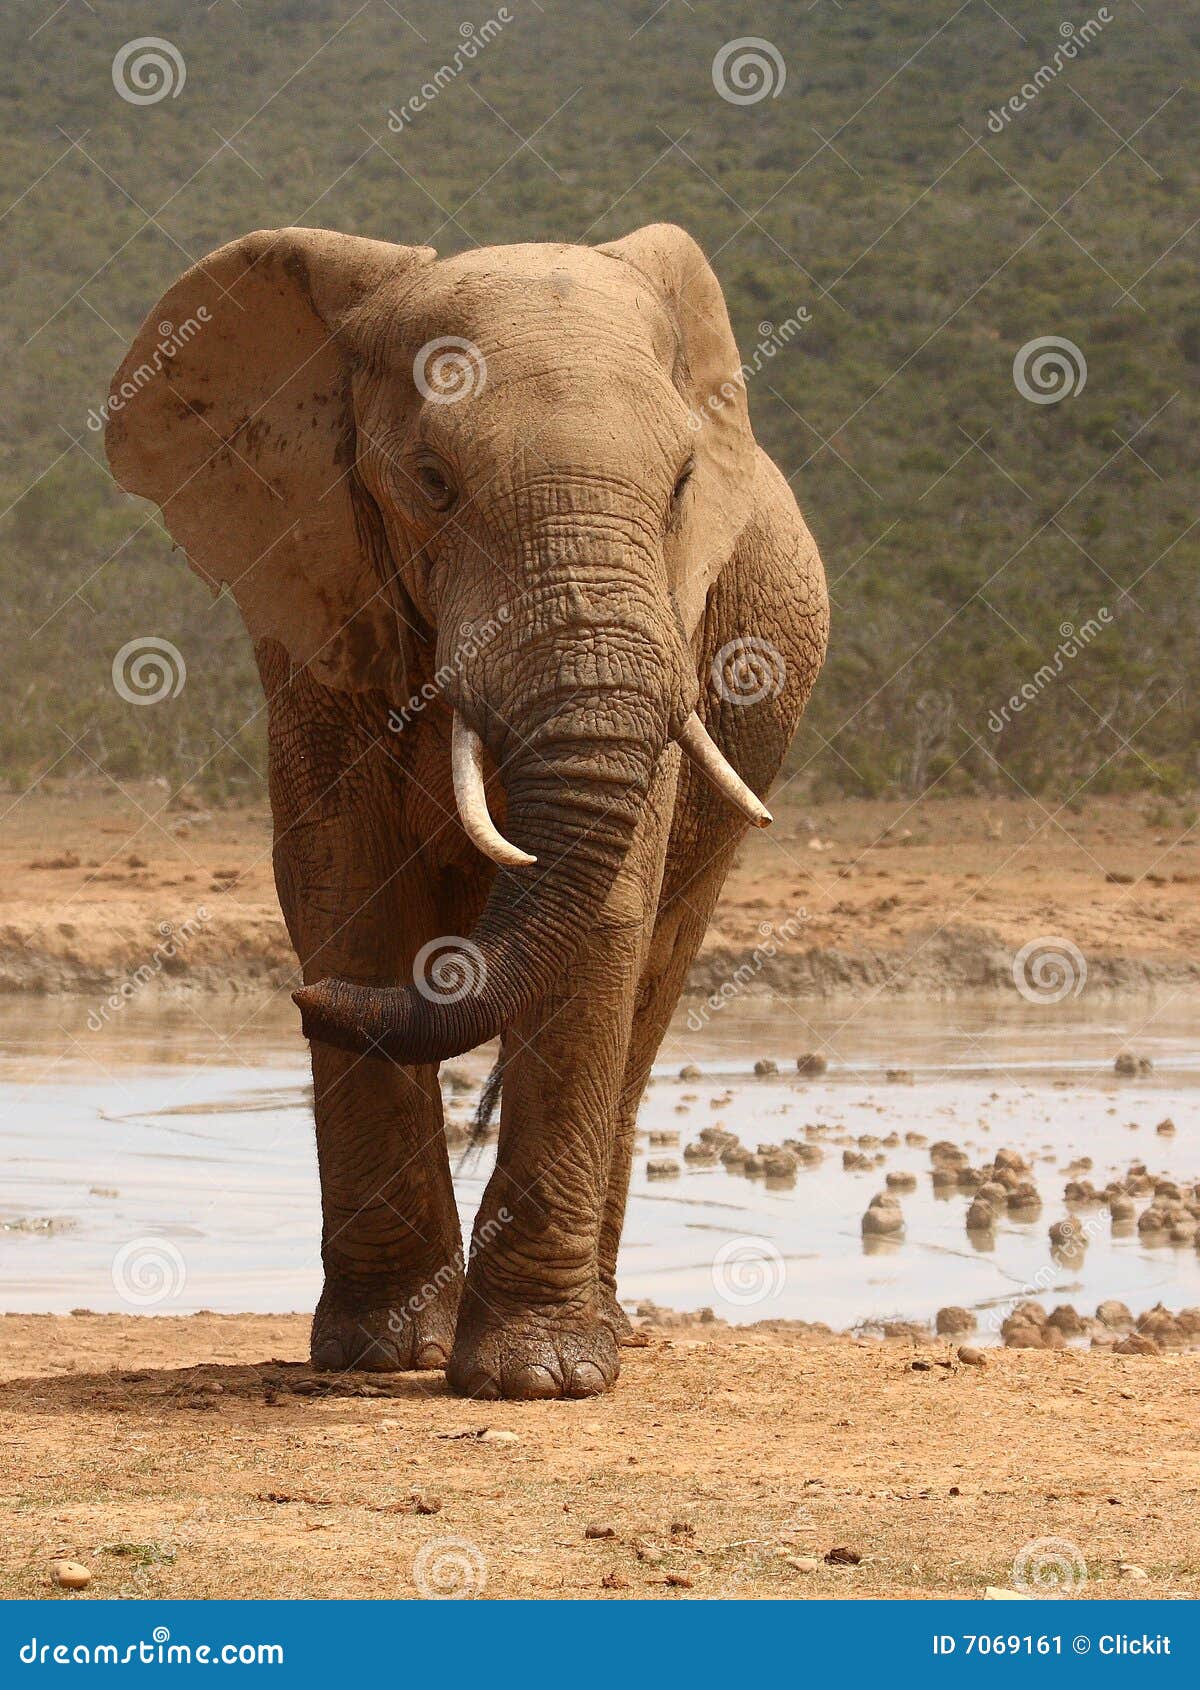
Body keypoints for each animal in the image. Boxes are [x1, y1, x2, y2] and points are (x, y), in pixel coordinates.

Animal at [105, 222, 828, 1400]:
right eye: (432, 482)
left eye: (681, 483)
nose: (302, 1001)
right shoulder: (321, 609)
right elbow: (343, 888)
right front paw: (379, 1356)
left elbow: (609, 915)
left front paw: (538, 1380)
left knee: (659, 969)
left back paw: (610, 1328)